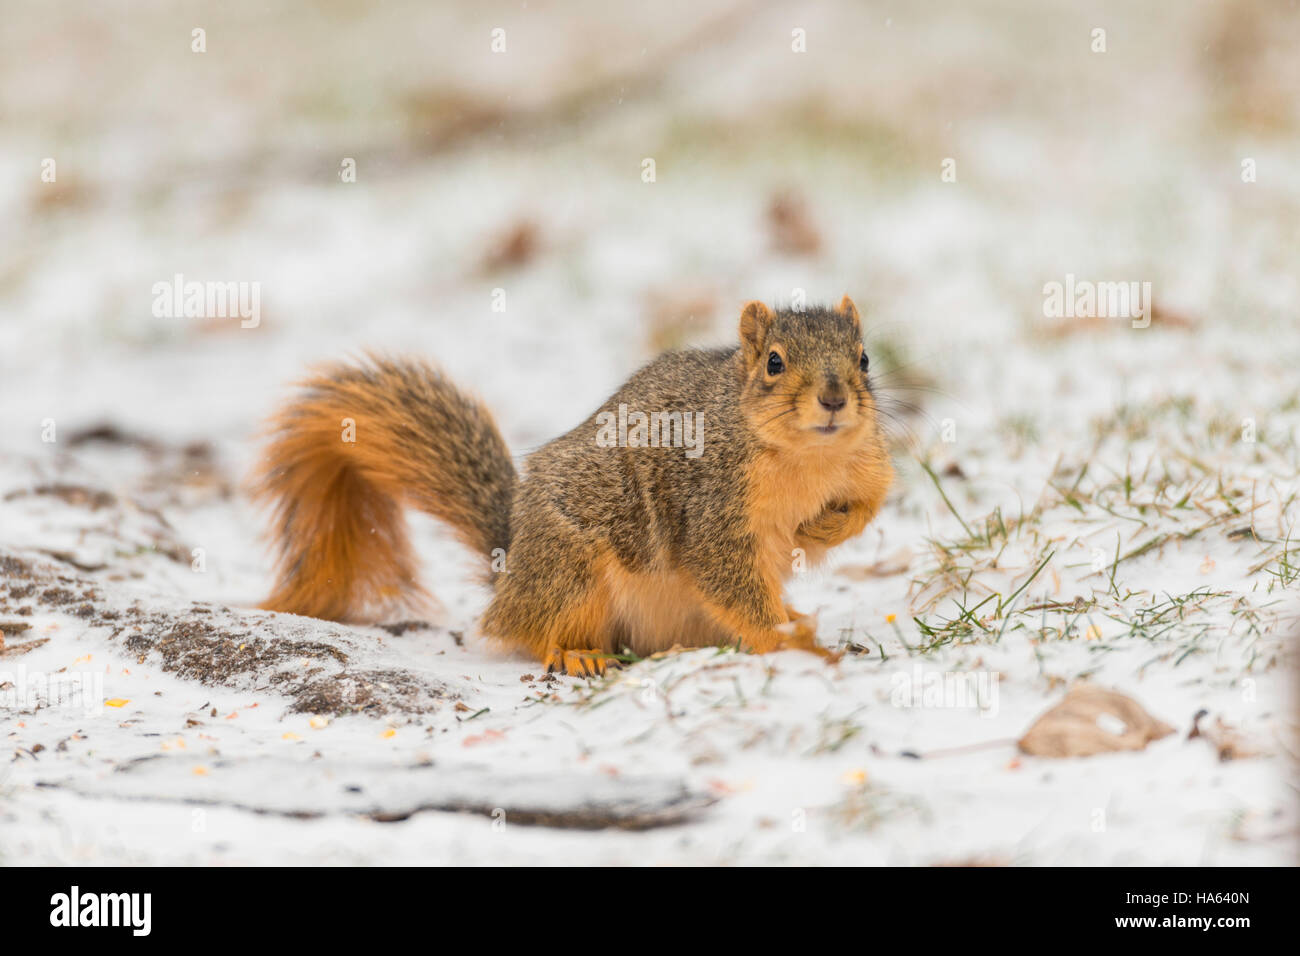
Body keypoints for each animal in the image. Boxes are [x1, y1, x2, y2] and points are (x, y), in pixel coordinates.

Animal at [253, 296, 894, 675]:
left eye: (864, 359)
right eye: (775, 364)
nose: (834, 398)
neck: (808, 457)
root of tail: (512, 565)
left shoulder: (865, 462)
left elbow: (871, 502)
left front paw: (824, 528)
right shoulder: (712, 505)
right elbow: (728, 579)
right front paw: (795, 645)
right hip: (572, 568)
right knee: (533, 628)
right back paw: (576, 654)